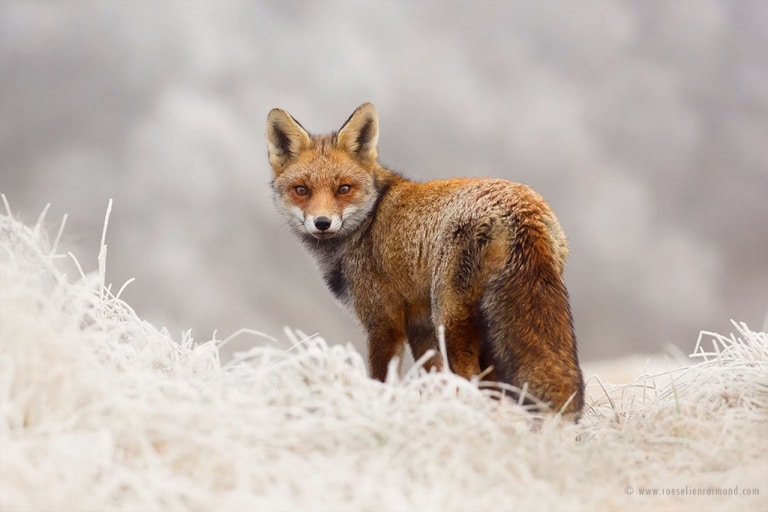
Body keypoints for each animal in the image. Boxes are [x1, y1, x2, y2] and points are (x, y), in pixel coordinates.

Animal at [265, 102, 584, 415]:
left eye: (343, 188)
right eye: (302, 190)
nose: (322, 223)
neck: (368, 223)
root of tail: (521, 211)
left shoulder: (384, 323)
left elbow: (382, 382)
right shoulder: (420, 328)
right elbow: (434, 384)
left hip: (451, 324)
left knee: (473, 382)